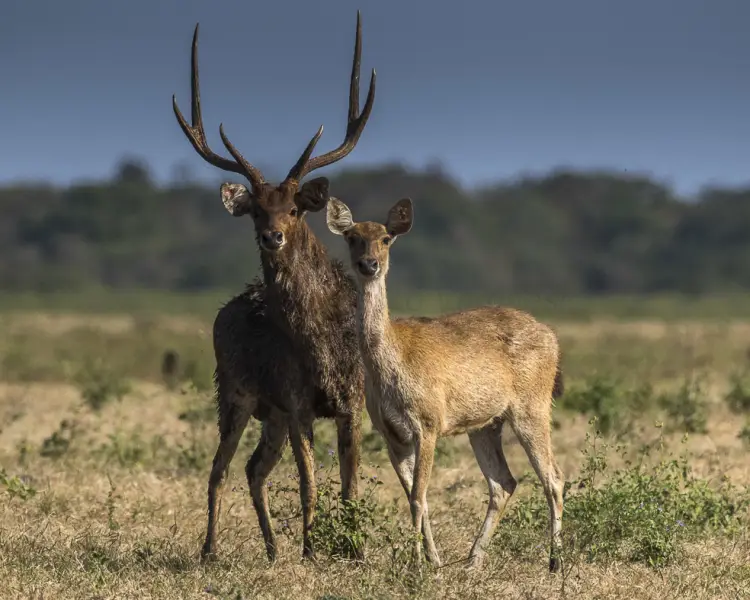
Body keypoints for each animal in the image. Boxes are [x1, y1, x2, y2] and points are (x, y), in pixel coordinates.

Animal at [172, 13, 376, 562]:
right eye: (257, 211)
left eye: (294, 208)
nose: (273, 236)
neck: (321, 342)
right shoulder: (296, 399)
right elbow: (309, 484)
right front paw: (312, 551)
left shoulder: (352, 398)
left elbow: (351, 485)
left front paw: (353, 550)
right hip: (235, 391)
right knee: (220, 469)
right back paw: (211, 550)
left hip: (270, 415)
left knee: (253, 469)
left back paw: (270, 548)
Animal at [326, 197, 566, 571]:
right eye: (352, 237)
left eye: (385, 238)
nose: (369, 264)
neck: (393, 365)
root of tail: (553, 339)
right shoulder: (391, 434)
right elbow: (415, 496)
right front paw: (434, 561)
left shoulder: (428, 423)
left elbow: (418, 496)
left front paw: (417, 565)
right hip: (485, 424)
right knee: (504, 482)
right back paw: (471, 560)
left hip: (533, 406)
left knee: (553, 477)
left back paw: (555, 563)